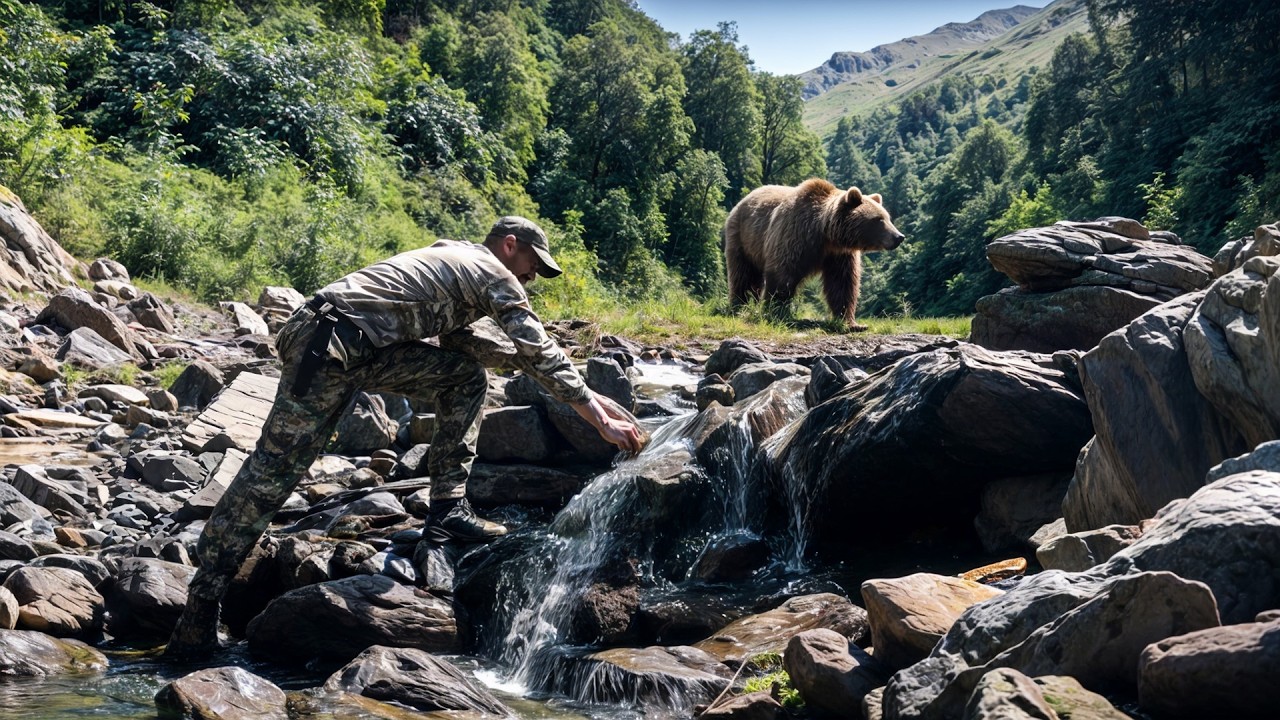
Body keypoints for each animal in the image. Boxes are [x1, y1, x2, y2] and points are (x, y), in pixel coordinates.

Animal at [723, 178, 905, 329]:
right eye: (878, 219)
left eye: (887, 217)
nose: (899, 237)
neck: (825, 234)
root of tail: (745, 198)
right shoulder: (795, 236)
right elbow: (782, 274)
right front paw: (775, 310)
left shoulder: (839, 255)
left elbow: (842, 283)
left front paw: (851, 323)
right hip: (743, 238)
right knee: (744, 274)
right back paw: (740, 305)